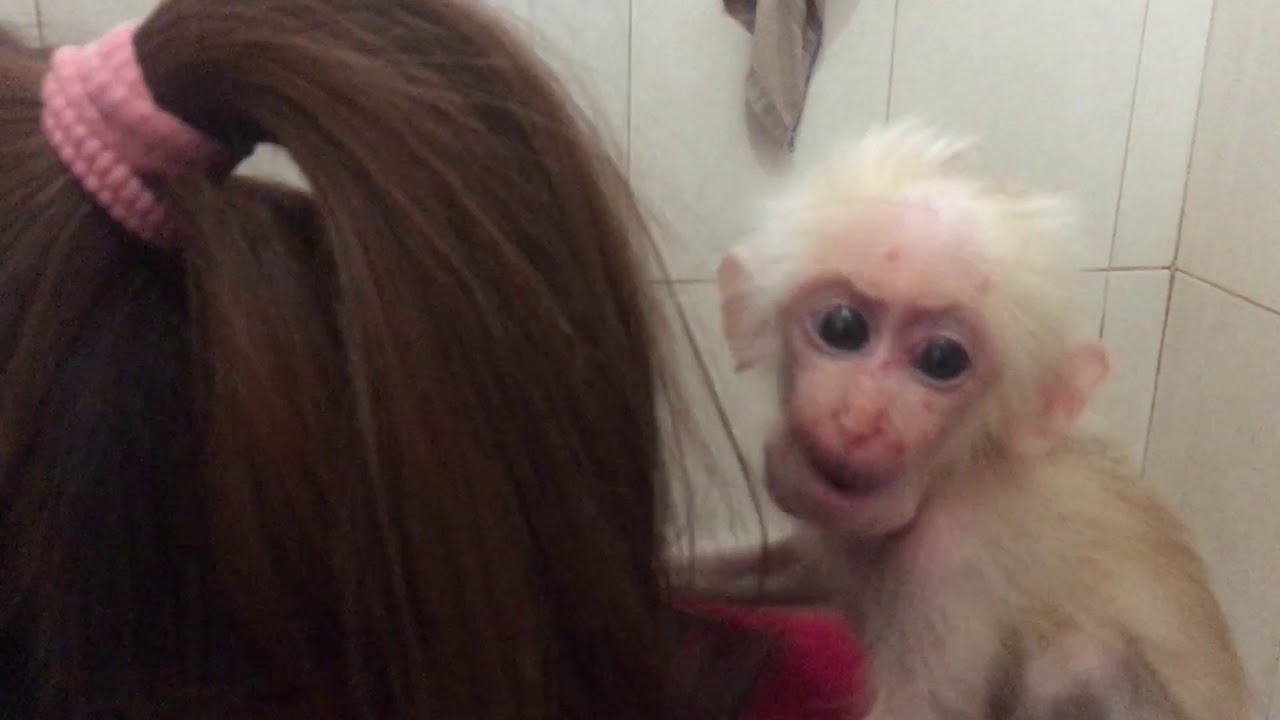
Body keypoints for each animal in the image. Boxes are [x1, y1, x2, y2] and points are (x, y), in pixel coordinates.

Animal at [679, 120, 1256, 720]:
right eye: (842, 326)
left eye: (942, 360)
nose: (862, 415)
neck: (950, 472)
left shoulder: (953, 556)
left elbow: (924, 706)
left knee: (1081, 661)